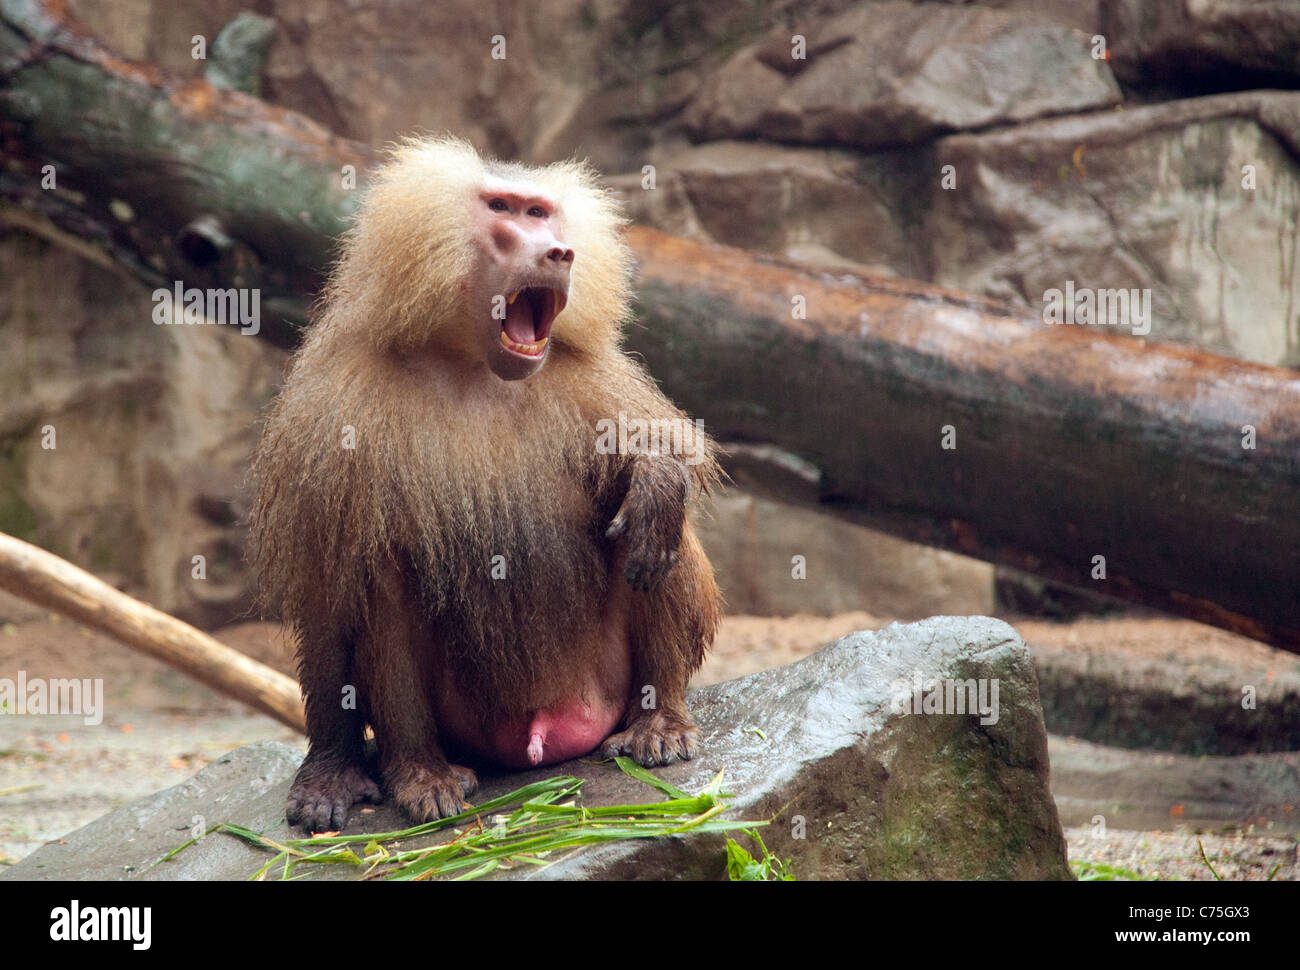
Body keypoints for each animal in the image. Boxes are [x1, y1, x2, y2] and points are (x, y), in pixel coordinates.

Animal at [250, 135, 722, 832]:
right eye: (503, 210)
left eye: (541, 213)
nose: (560, 251)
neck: (472, 364)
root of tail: (543, 738)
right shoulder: (337, 398)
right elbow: (328, 583)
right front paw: (329, 773)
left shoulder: (583, 374)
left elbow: (661, 457)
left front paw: (657, 481)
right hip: (463, 724)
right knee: (382, 577)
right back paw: (423, 777)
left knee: (654, 541)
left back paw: (657, 724)